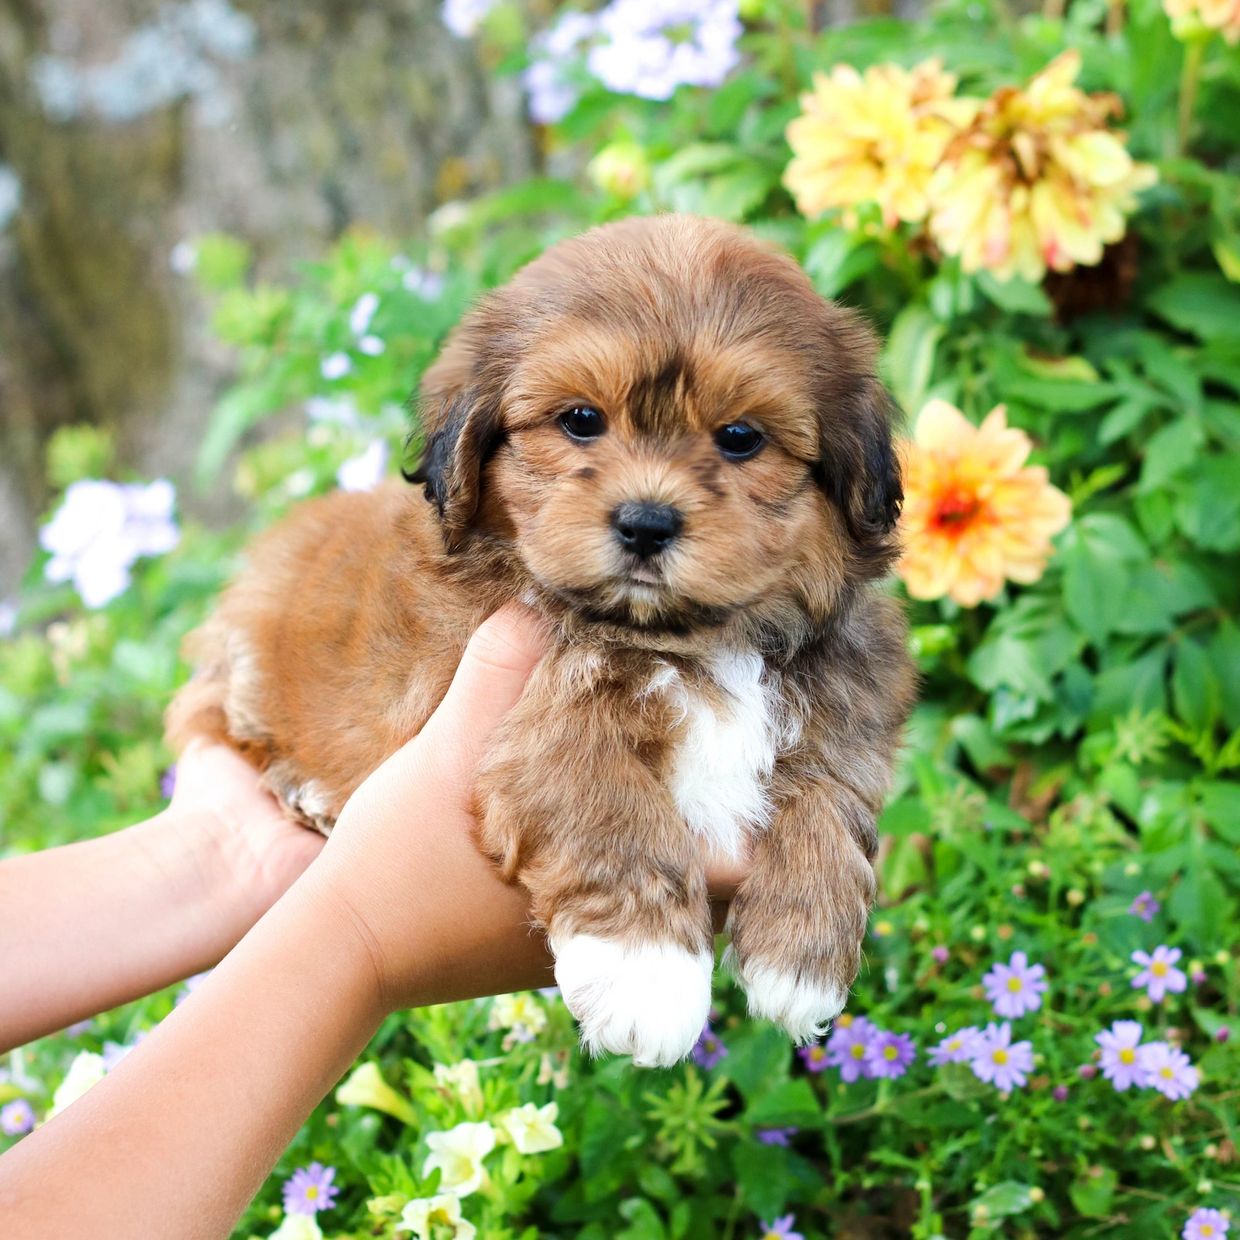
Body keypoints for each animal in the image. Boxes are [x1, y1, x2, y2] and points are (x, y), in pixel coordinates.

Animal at [169, 213, 917, 1066]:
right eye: (581, 420)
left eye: (739, 438)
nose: (646, 522)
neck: (695, 640)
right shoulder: (528, 712)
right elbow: (600, 792)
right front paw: (647, 973)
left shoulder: (850, 697)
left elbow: (833, 792)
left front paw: (804, 954)